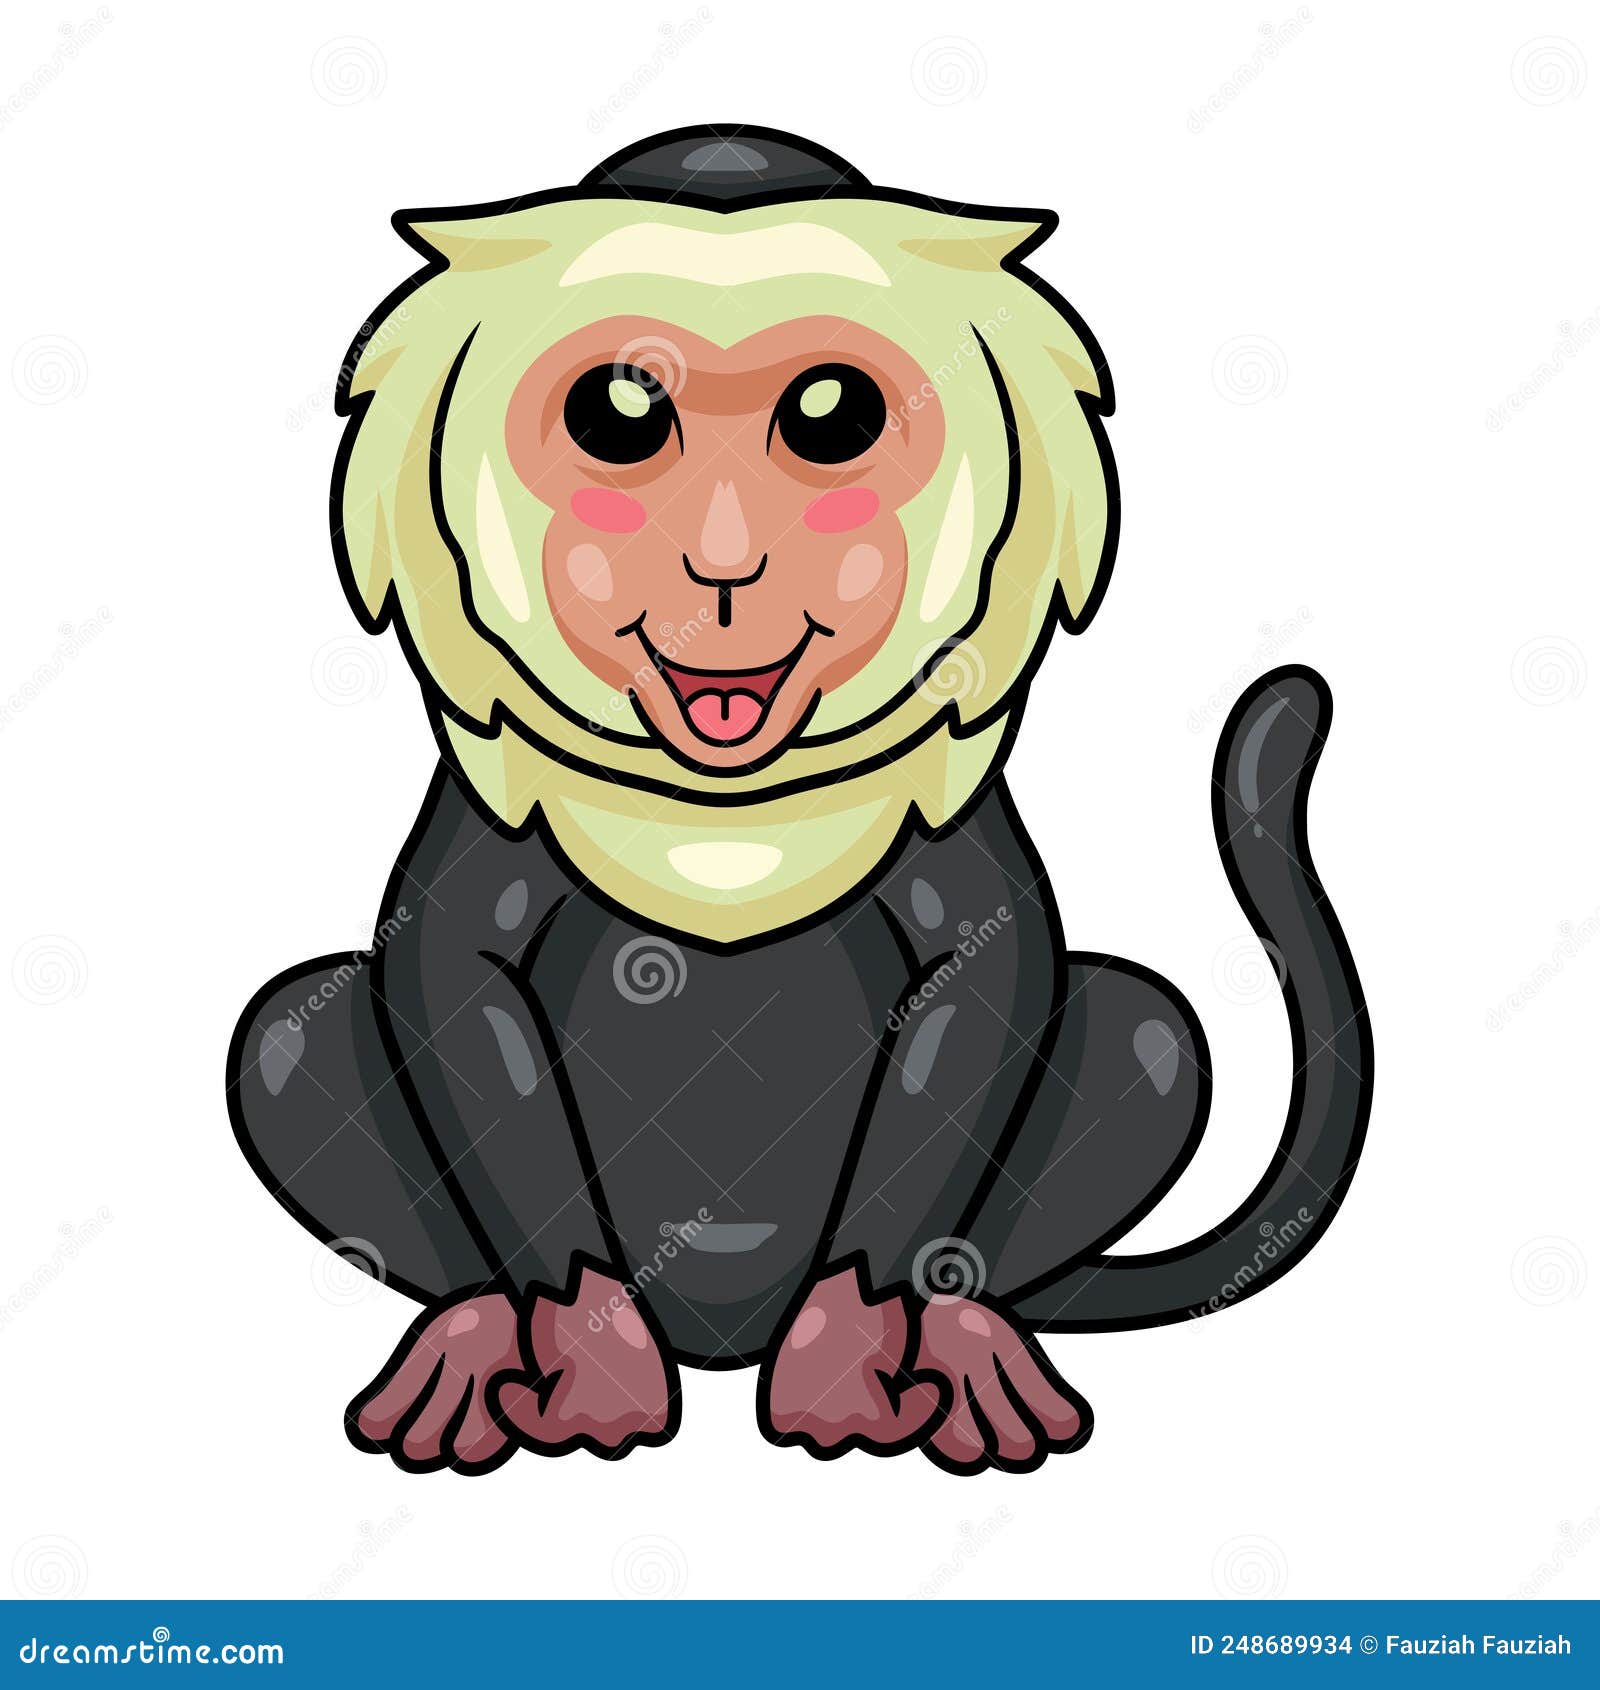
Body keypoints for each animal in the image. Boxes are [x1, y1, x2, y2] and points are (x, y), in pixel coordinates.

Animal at [226, 125, 1372, 1475]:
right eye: (619, 412)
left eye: (834, 416)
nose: (724, 570)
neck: (727, 822)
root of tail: (721, 1338)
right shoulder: (479, 813)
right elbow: (455, 971)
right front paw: (594, 1352)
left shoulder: (958, 821)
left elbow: (983, 969)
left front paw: (845, 1346)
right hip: (291, 1052)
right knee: (290, 1034)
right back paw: (468, 1338)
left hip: (1134, 1064)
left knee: (1142, 1036)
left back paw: (969, 1339)